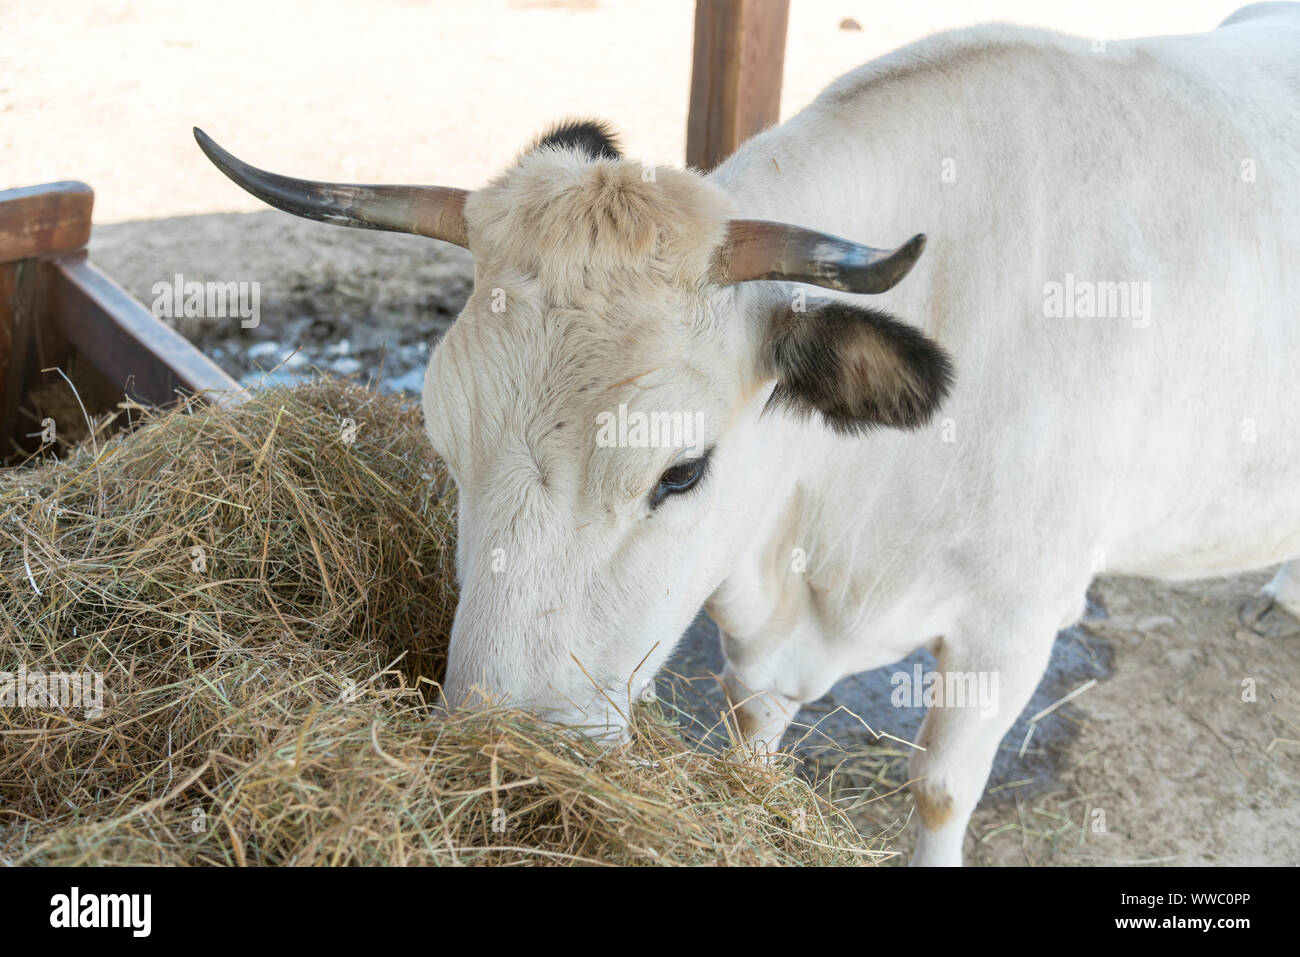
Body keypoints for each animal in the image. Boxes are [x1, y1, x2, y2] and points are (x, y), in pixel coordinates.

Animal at [196, 2, 1300, 865]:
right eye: (443, 443)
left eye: (681, 472)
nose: (501, 762)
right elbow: (753, 723)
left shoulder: (1014, 621)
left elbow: (941, 788)